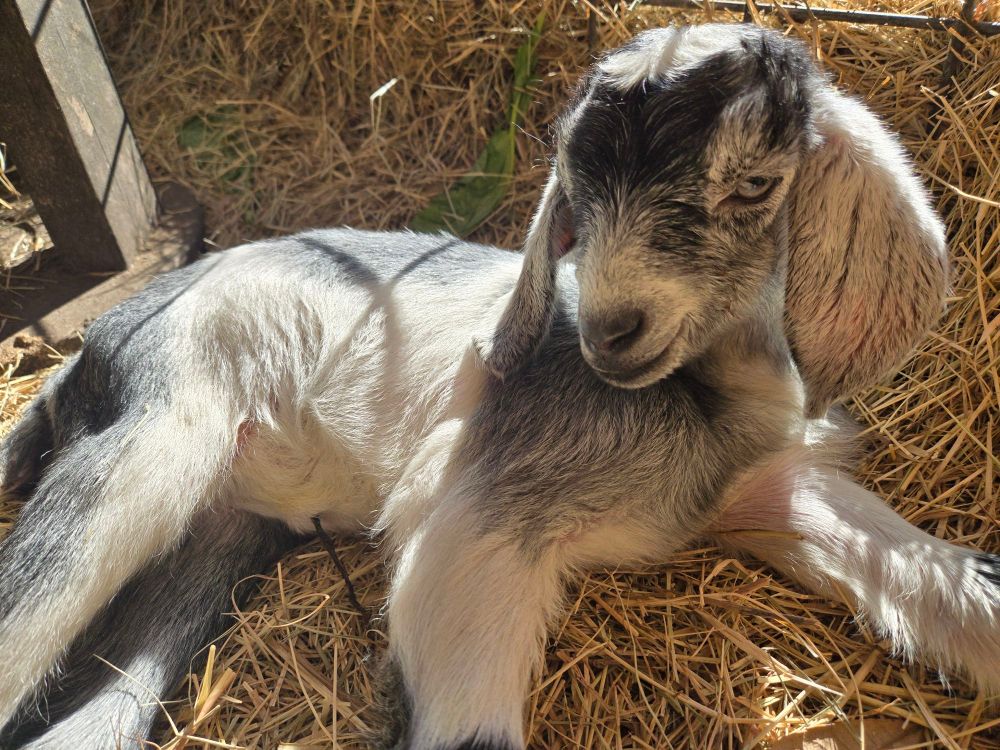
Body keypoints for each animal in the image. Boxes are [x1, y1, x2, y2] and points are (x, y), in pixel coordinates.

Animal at [0, 23, 992, 750]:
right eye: (574, 195)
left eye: (755, 183)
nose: (608, 328)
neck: (709, 407)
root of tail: (91, 347)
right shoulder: (480, 512)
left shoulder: (769, 492)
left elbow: (948, 584)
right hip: (157, 423)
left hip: (213, 539)